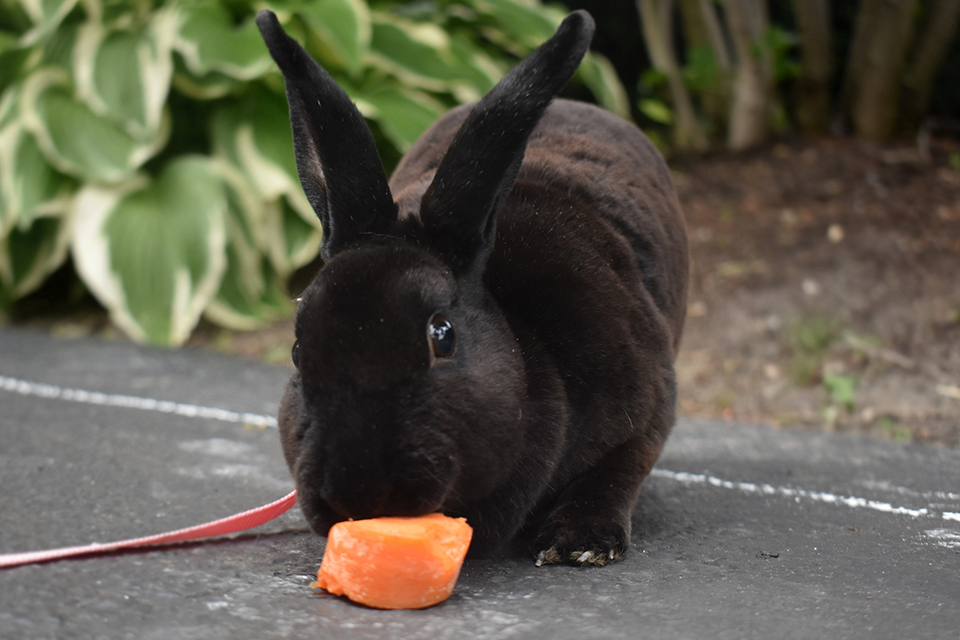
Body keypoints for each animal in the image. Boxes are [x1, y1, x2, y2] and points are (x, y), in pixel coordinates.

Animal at [256, 8, 688, 566]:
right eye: (296, 350)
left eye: (442, 336)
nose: (356, 491)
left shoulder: (650, 409)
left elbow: (618, 471)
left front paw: (579, 542)